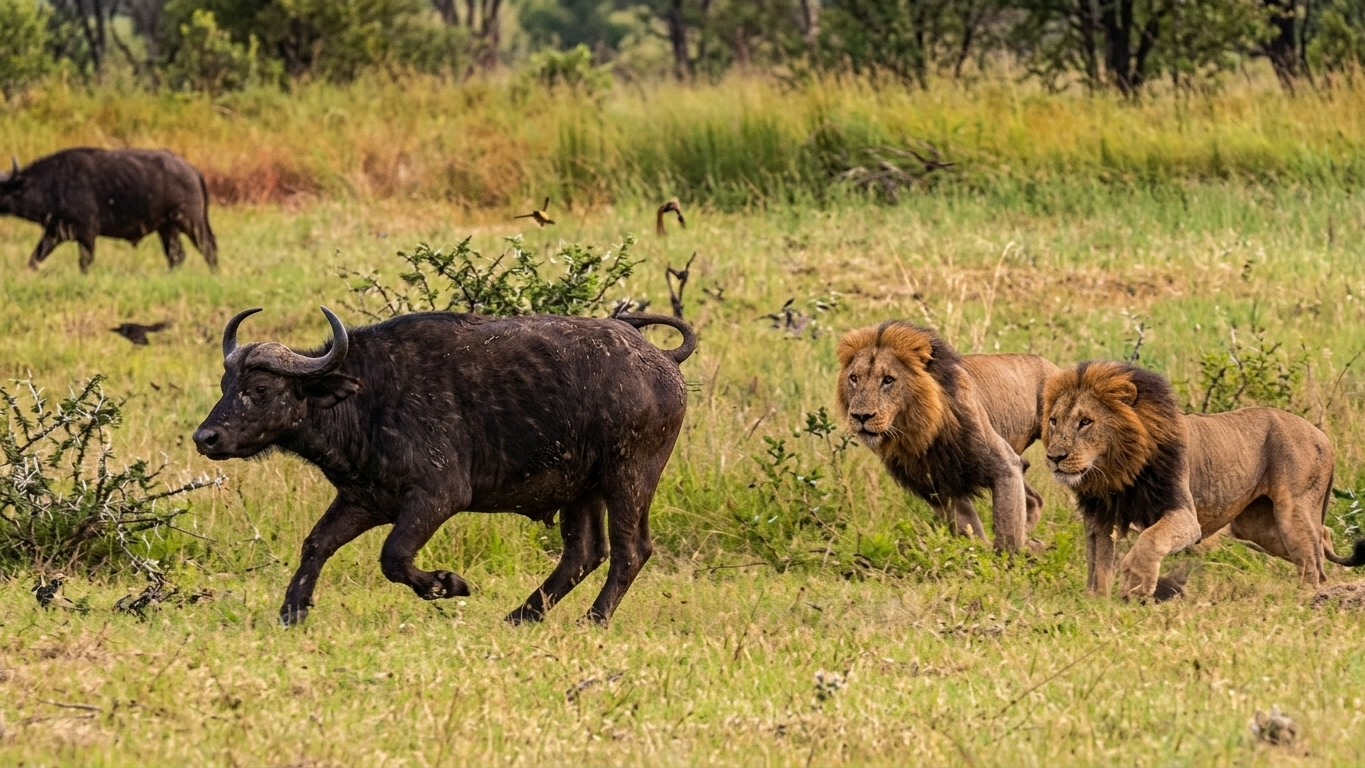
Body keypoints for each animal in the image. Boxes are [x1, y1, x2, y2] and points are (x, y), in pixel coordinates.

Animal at [0, 148, 217, 272]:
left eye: (1, 188)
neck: (55, 184)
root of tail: (192, 170)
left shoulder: (87, 234)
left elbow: (85, 262)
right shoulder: (54, 232)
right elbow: (35, 258)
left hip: (191, 222)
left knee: (208, 248)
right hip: (167, 228)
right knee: (176, 256)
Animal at [193, 307, 696, 625]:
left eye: (259, 388)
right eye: (225, 384)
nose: (205, 438)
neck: (366, 397)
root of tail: (661, 361)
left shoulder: (437, 495)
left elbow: (393, 556)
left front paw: (447, 584)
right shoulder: (363, 500)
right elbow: (316, 544)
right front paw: (292, 611)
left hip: (629, 477)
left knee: (630, 551)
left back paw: (591, 620)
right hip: (580, 490)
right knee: (584, 553)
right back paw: (521, 616)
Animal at [836, 321, 1060, 552]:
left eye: (888, 380)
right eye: (854, 378)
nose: (860, 416)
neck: (919, 433)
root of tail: (1053, 366)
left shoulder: (1004, 466)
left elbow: (1007, 530)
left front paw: (1007, 557)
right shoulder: (937, 486)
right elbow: (968, 530)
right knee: (1034, 499)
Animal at [1041, 360, 1365, 600]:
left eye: (1085, 422)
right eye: (1054, 421)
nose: (1054, 457)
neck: (1115, 473)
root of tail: (1323, 436)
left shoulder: (1185, 516)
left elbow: (1150, 538)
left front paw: (1134, 580)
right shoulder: (1100, 517)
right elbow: (1098, 561)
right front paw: (1096, 600)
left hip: (1291, 513)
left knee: (1313, 563)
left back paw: (1309, 598)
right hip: (1260, 528)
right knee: (1321, 537)